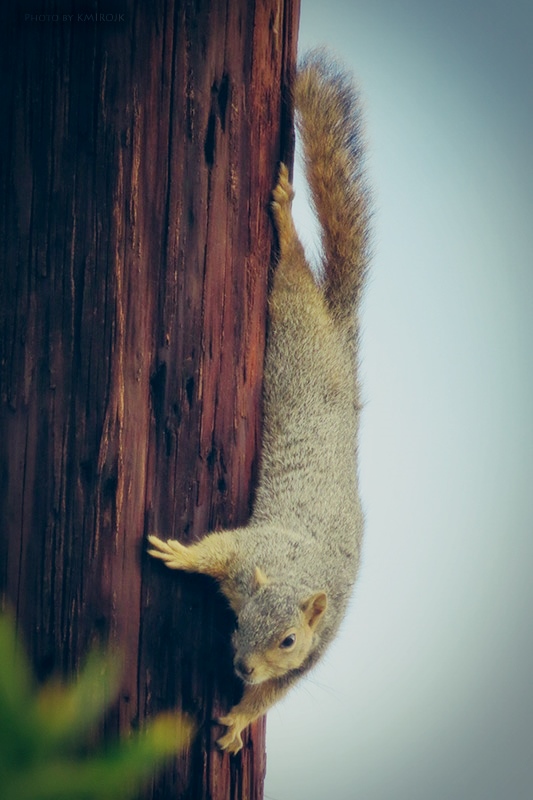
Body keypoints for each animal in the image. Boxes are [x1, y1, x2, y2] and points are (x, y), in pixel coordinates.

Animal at [148, 50, 370, 754]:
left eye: (290, 640)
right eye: (242, 613)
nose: (242, 666)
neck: (291, 576)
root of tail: (338, 337)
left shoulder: (316, 653)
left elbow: (280, 691)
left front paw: (240, 719)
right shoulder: (250, 555)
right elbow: (217, 550)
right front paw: (180, 554)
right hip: (292, 325)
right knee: (291, 272)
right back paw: (284, 218)